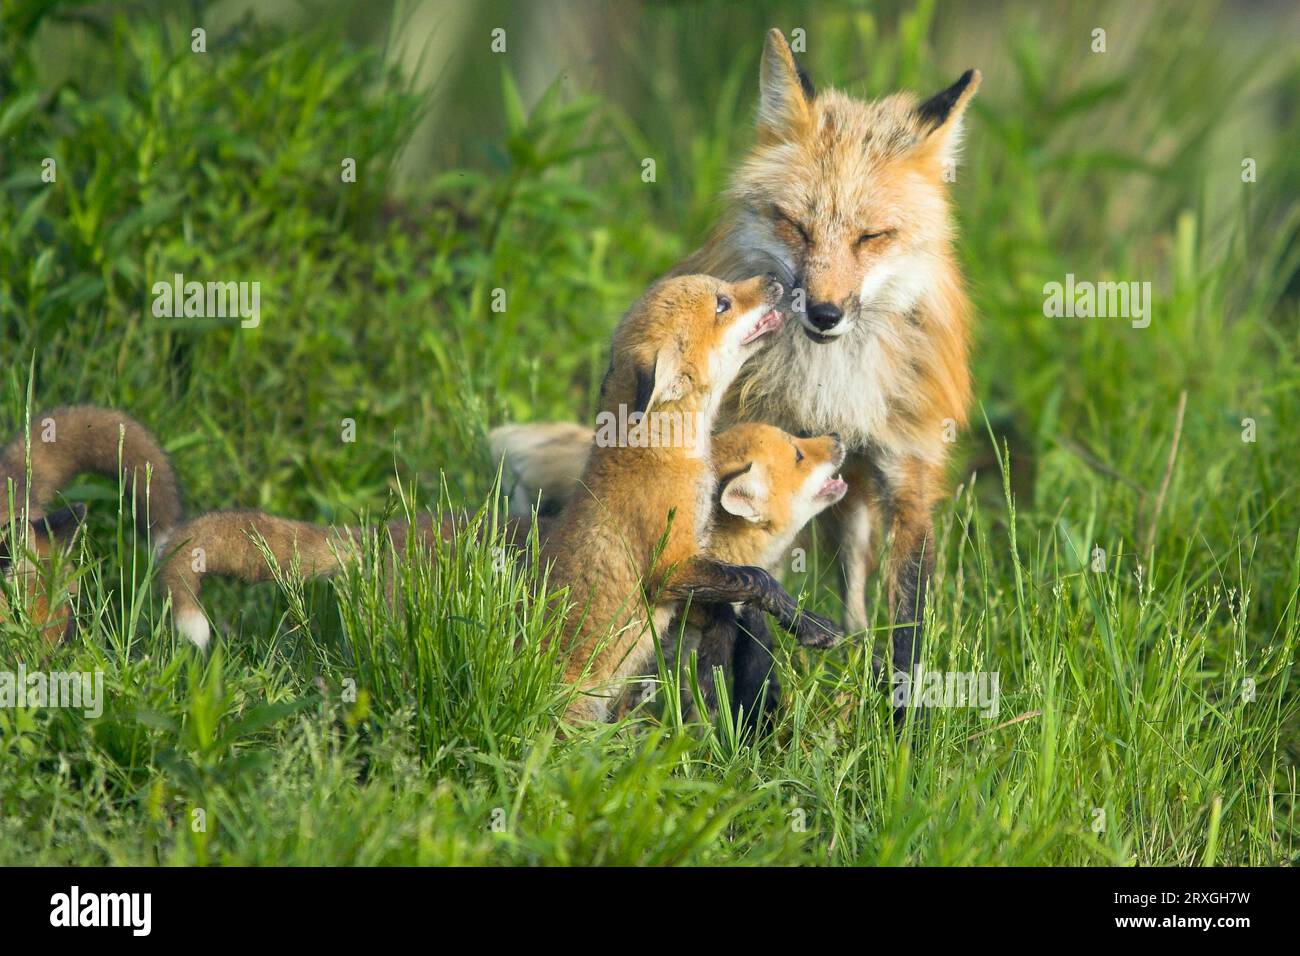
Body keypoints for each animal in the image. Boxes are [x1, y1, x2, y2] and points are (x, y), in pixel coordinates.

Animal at [542, 272, 841, 723]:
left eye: (725, 289)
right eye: (722, 304)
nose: (777, 278)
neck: (666, 454)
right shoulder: (671, 566)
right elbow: (757, 579)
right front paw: (809, 626)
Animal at [669, 30, 981, 693]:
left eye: (872, 237)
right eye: (797, 226)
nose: (825, 313)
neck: (833, 387)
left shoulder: (908, 466)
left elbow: (908, 614)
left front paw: (903, 709)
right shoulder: (766, 454)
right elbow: (751, 589)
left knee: (857, 589)